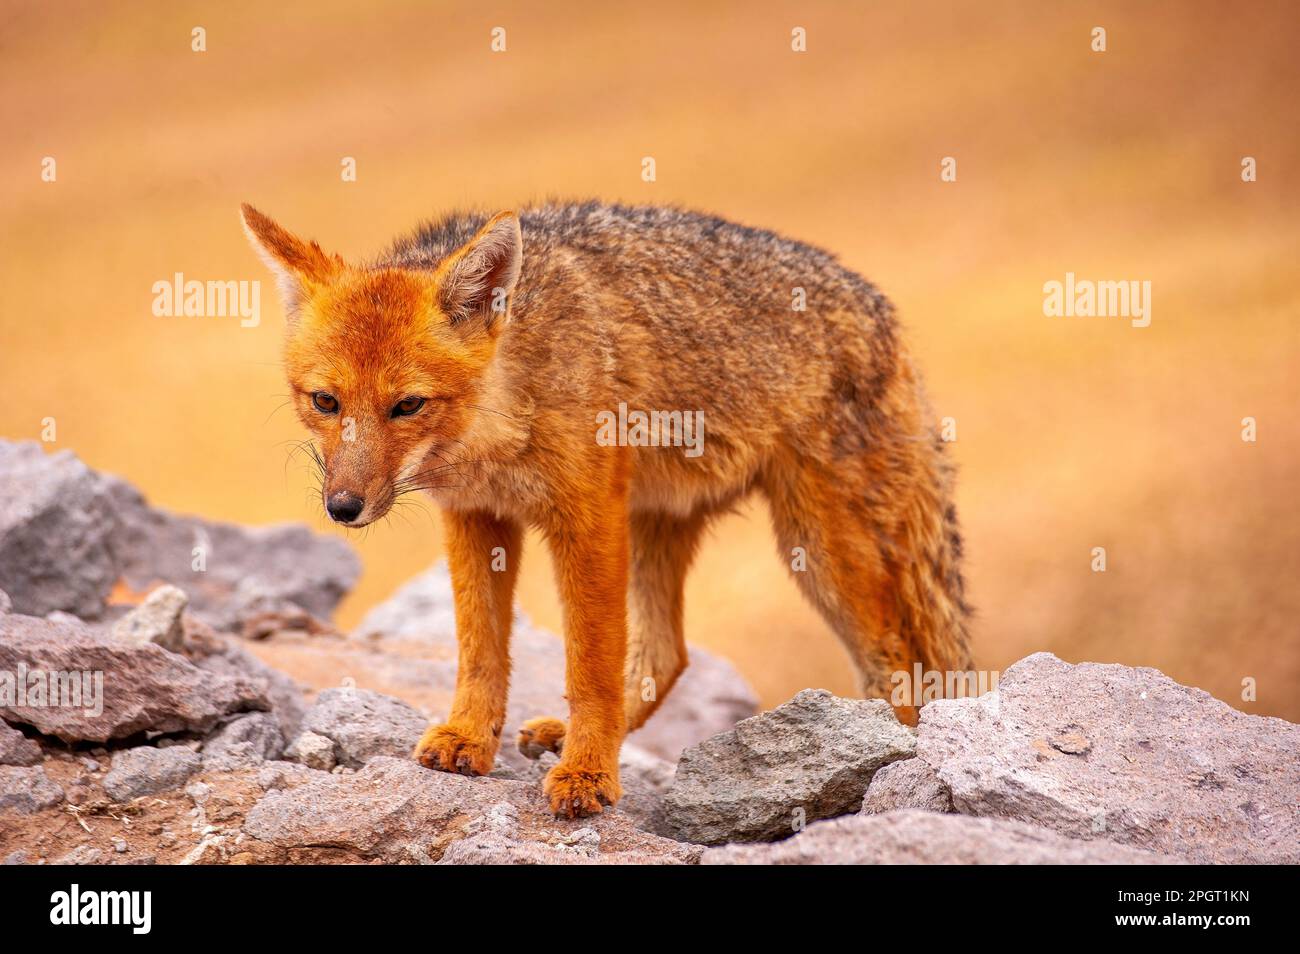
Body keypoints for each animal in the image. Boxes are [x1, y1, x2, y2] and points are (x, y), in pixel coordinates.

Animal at [241, 199, 972, 818]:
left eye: (407, 406)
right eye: (325, 402)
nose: (343, 507)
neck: (500, 430)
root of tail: (879, 306)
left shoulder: (587, 520)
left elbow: (588, 663)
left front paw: (588, 774)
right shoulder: (476, 519)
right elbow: (479, 648)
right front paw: (469, 737)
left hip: (820, 557)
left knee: (902, 668)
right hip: (664, 522)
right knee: (670, 652)